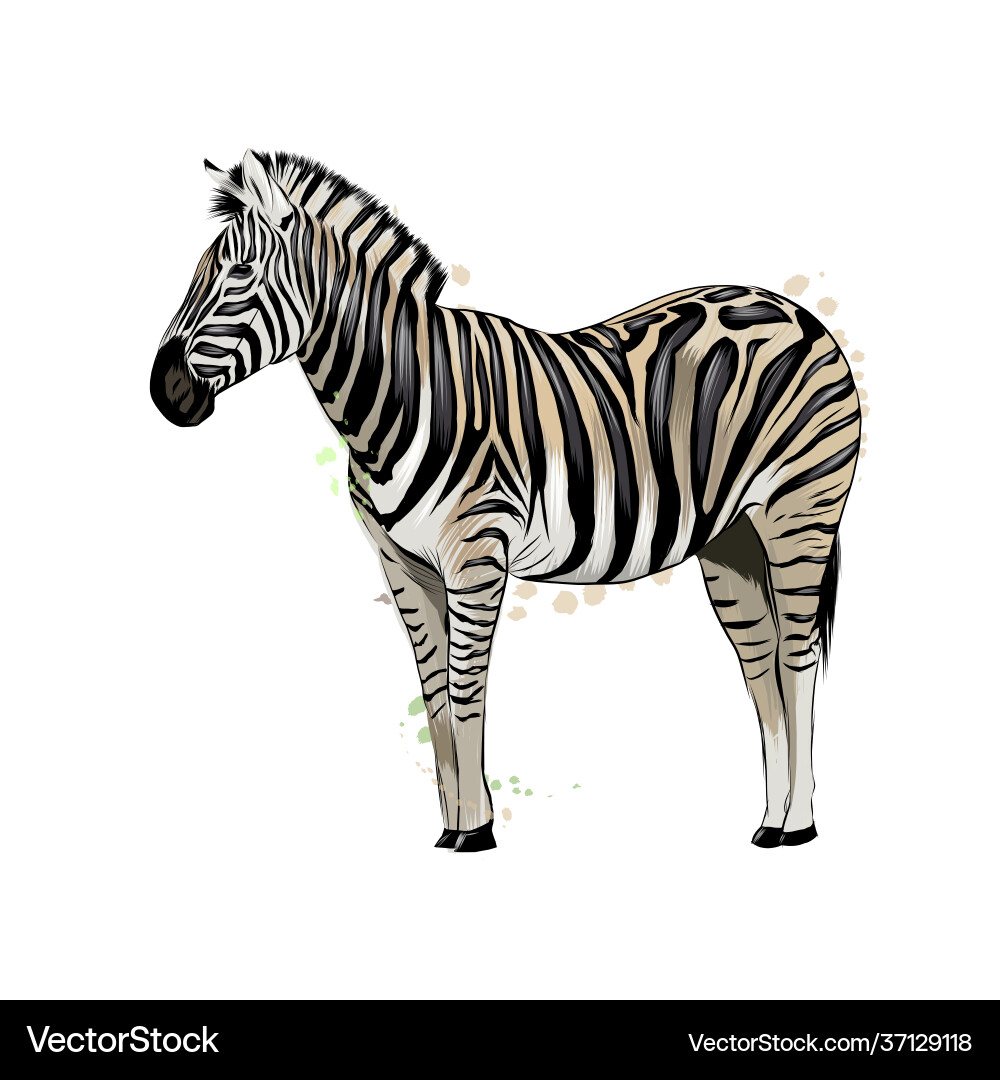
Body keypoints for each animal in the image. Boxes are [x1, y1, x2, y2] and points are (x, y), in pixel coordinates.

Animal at [152, 149, 861, 853]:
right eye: (198, 271)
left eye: (240, 272)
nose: (164, 392)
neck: (397, 398)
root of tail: (796, 311)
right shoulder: (402, 566)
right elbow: (435, 696)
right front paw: (456, 825)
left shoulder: (476, 553)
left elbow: (466, 694)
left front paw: (476, 833)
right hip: (729, 539)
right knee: (761, 668)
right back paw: (770, 822)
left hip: (800, 513)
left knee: (797, 663)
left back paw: (799, 827)